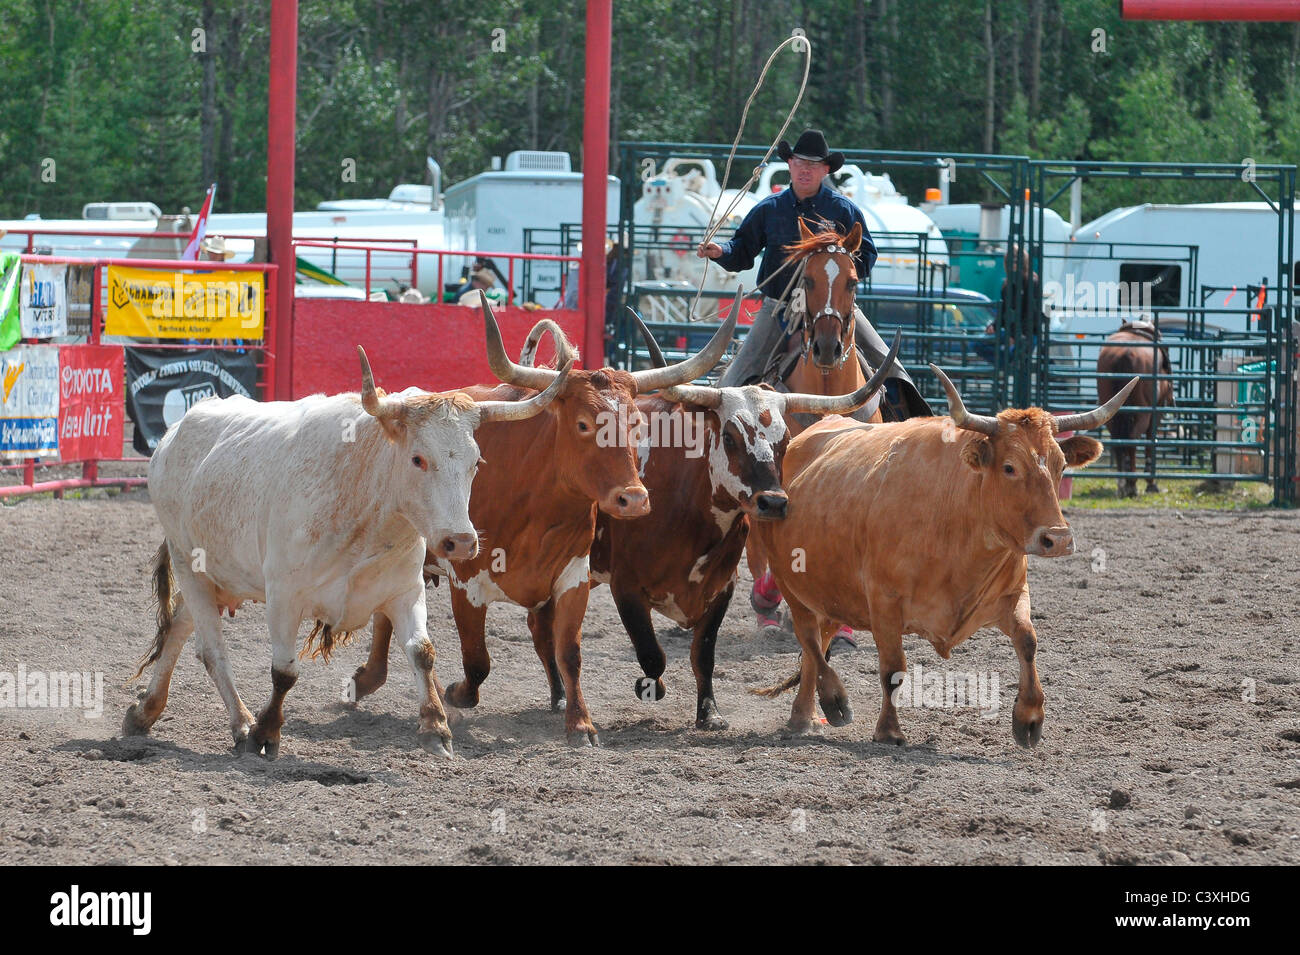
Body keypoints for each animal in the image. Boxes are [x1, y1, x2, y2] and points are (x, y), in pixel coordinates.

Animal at [123, 347, 570, 759]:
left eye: (477, 461)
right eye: (418, 459)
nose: (459, 541)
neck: (366, 504)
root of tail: (173, 435)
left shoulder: (404, 591)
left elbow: (422, 653)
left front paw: (436, 727)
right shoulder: (284, 597)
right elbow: (284, 671)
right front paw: (266, 733)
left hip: (215, 573)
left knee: (180, 627)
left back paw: (146, 711)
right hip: (189, 563)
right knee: (212, 650)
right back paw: (242, 723)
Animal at [345, 299, 736, 746]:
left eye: (637, 423)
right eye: (583, 424)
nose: (633, 499)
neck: (534, 506)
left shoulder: (572, 577)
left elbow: (570, 652)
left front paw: (580, 722)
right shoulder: (466, 579)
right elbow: (477, 660)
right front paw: (456, 694)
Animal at [588, 323, 898, 730]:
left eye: (785, 441)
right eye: (730, 437)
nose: (774, 502)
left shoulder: (722, 587)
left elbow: (703, 654)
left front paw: (710, 713)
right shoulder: (625, 585)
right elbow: (652, 654)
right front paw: (651, 686)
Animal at [751, 365, 1137, 747]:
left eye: (1060, 466)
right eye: (1009, 467)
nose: (1057, 539)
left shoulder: (1012, 594)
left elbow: (1028, 641)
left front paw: (1029, 717)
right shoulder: (883, 601)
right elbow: (893, 667)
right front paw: (889, 730)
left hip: (834, 592)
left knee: (817, 644)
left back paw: (803, 715)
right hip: (791, 583)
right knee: (809, 639)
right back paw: (833, 702)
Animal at [1097, 320, 1175, 497]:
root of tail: (1125, 353)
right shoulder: (1156, 414)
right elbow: (1149, 442)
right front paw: (1151, 483)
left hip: (1109, 411)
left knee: (1118, 440)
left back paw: (1122, 483)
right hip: (1142, 413)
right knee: (1132, 439)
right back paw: (1131, 484)